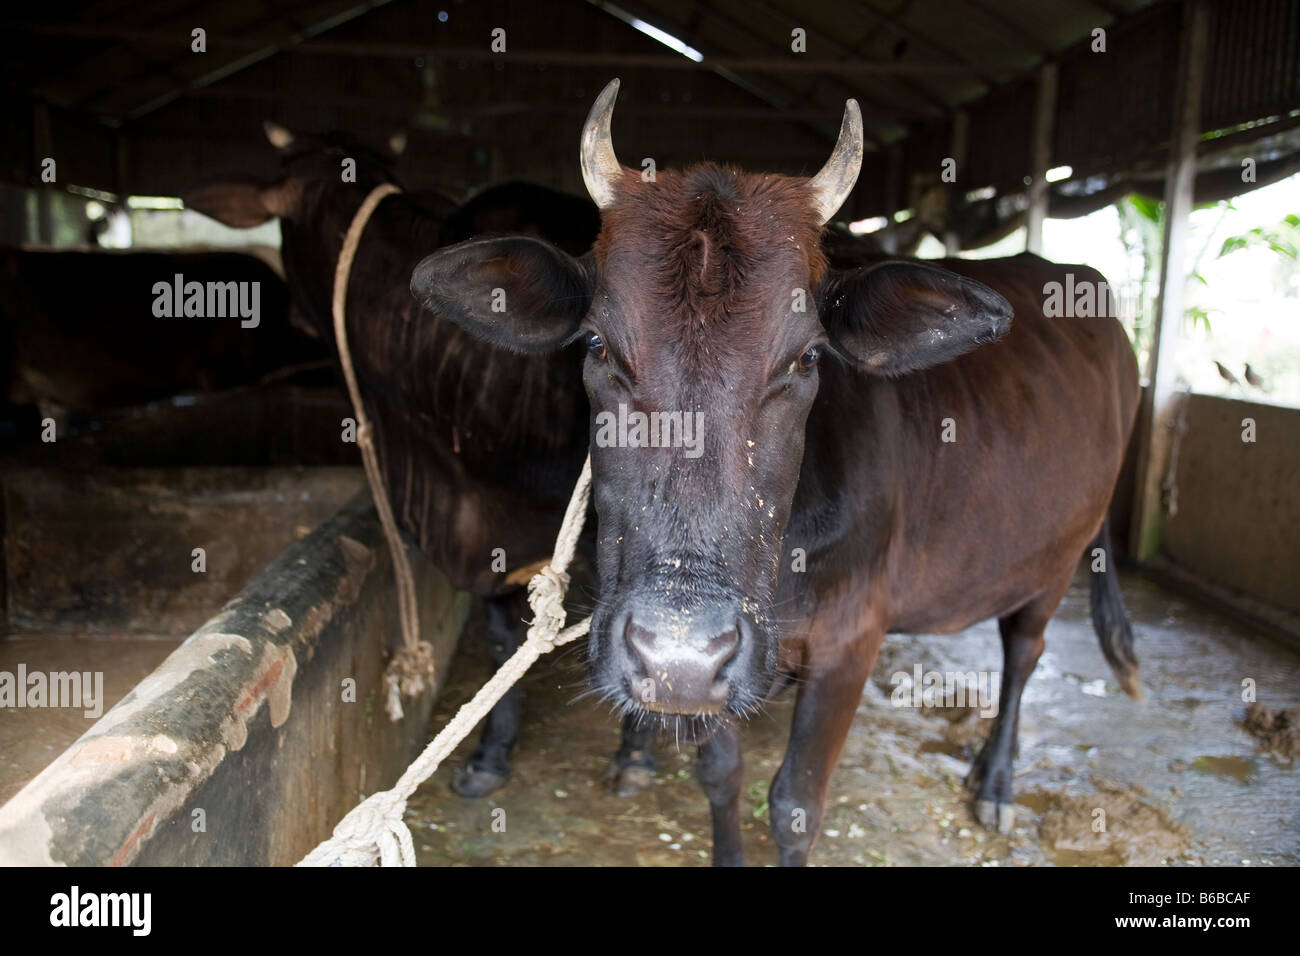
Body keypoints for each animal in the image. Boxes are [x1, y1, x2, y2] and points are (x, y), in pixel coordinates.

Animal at [411, 79, 1142, 866]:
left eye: (807, 357)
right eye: (598, 345)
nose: (678, 653)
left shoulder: (851, 640)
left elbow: (795, 805)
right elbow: (720, 774)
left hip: (1057, 558)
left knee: (1024, 653)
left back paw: (997, 782)